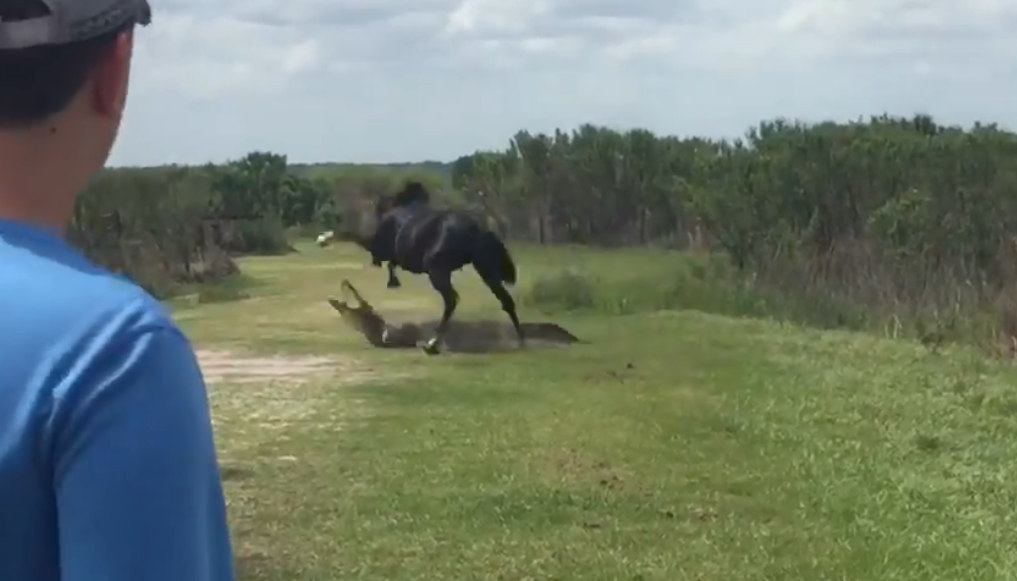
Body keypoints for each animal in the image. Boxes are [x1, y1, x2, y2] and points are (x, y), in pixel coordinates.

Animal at [364, 181, 524, 355]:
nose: (373, 254)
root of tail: (477, 230)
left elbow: (391, 264)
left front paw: (392, 282)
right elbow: (391, 264)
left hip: (438, 271)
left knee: (451, 300)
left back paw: (432, 344)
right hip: (485, 270)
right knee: (506, 301)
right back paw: (520, 340)